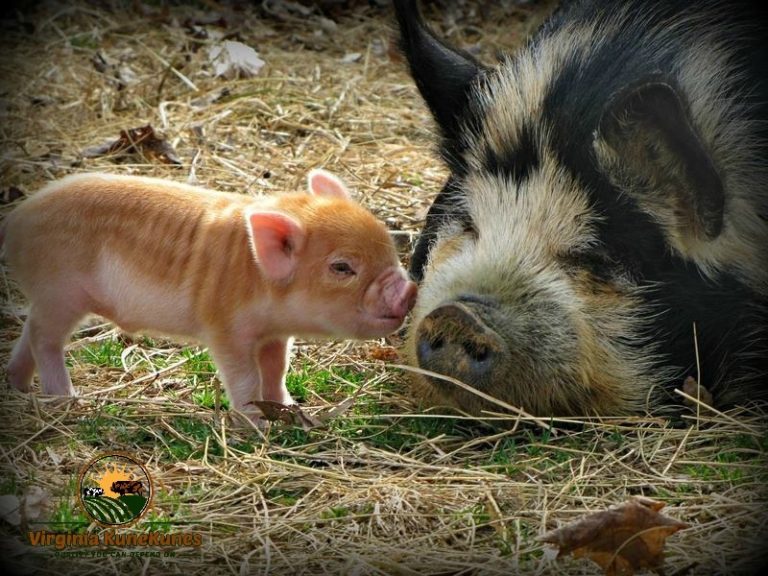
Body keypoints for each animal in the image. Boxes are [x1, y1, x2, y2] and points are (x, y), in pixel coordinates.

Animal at [1, 170, 417, 421]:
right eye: (342, 267)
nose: (409, 289)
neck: (258, 276)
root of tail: (16, 220)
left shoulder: (274, 334)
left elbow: (276, 367)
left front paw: (289, 407)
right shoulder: (225, 326)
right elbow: (244, 375)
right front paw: (256, 424)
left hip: (51, 297)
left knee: (30, 333)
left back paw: (17, 385)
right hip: (61, 292)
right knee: (45, 339)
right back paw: (69, 400)